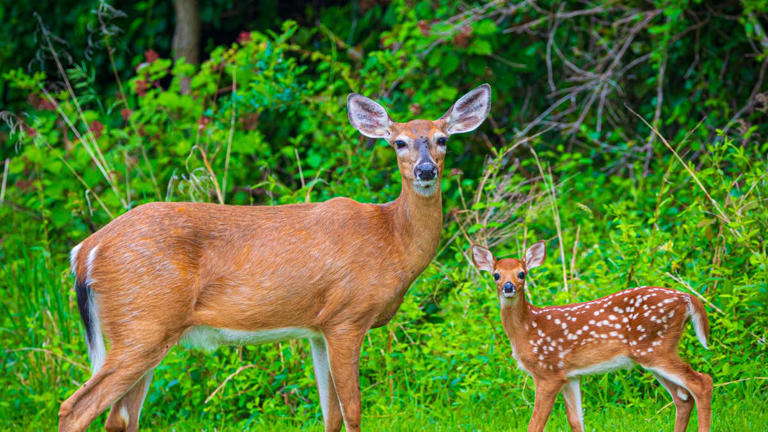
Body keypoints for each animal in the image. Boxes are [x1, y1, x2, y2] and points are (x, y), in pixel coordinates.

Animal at [58, 84, 492, 432]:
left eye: (442, 139)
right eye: (398, 142)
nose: (425, 170)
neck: (391, 240)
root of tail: (86, 250)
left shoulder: (319, 327)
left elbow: (330, 416)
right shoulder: (348, 317)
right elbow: (353, 413)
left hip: (143, 330)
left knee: (119, 419)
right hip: (142, 324)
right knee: (74, 408)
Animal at [471, 241, 712, 432]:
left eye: (522, 273)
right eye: (496, 275)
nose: (508, 287)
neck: (527, 329)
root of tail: (687, 298)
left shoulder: (548, 372)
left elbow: (535, 425)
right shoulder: (570, 375)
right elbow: (576, 422)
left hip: (654, 348)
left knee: (702, 382)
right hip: (654, 353)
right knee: (682, 398)